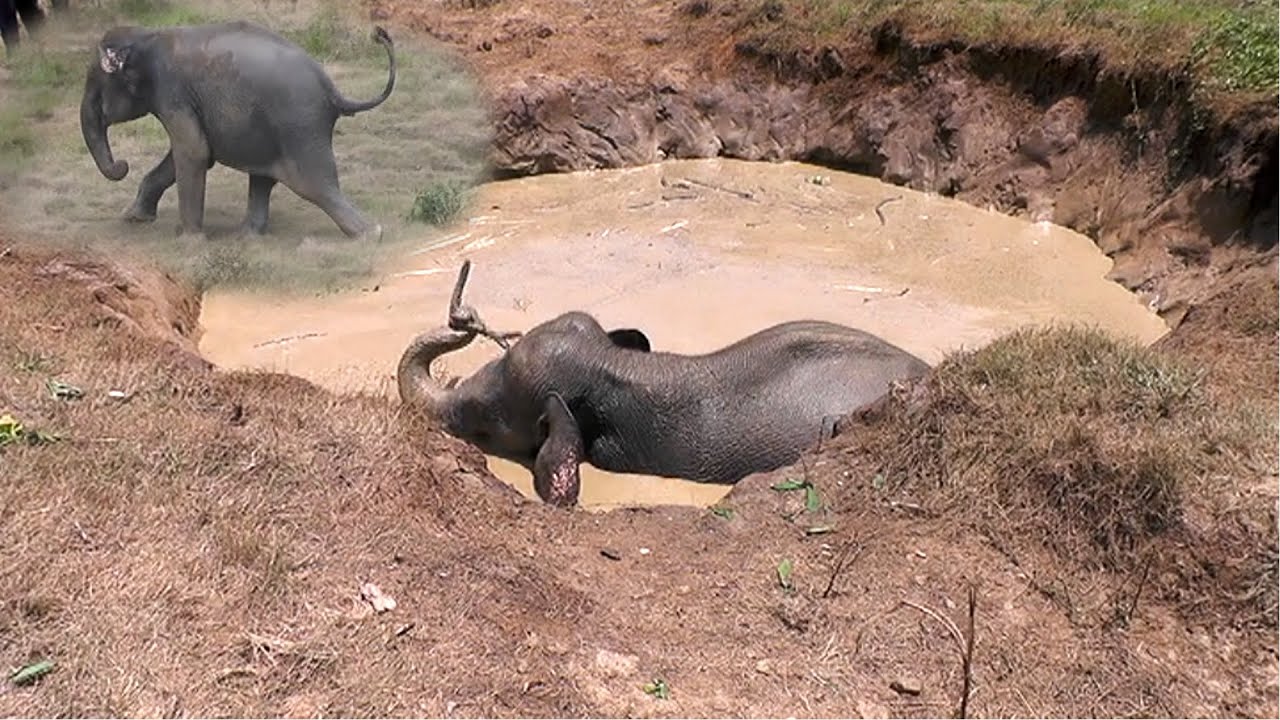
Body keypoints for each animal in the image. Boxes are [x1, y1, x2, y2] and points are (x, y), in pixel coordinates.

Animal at [79, 20, 396, 241]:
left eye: (95, 90)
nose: (122, 165)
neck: (149, 38)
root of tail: (334, 92)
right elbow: (194, 153)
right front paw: (133, 219)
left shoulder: (172, 91)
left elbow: (194, 151)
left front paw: (189, 241)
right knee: (264, 178)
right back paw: (246, 236)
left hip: (300, 127)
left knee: (314, 184)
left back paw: (371, 235)